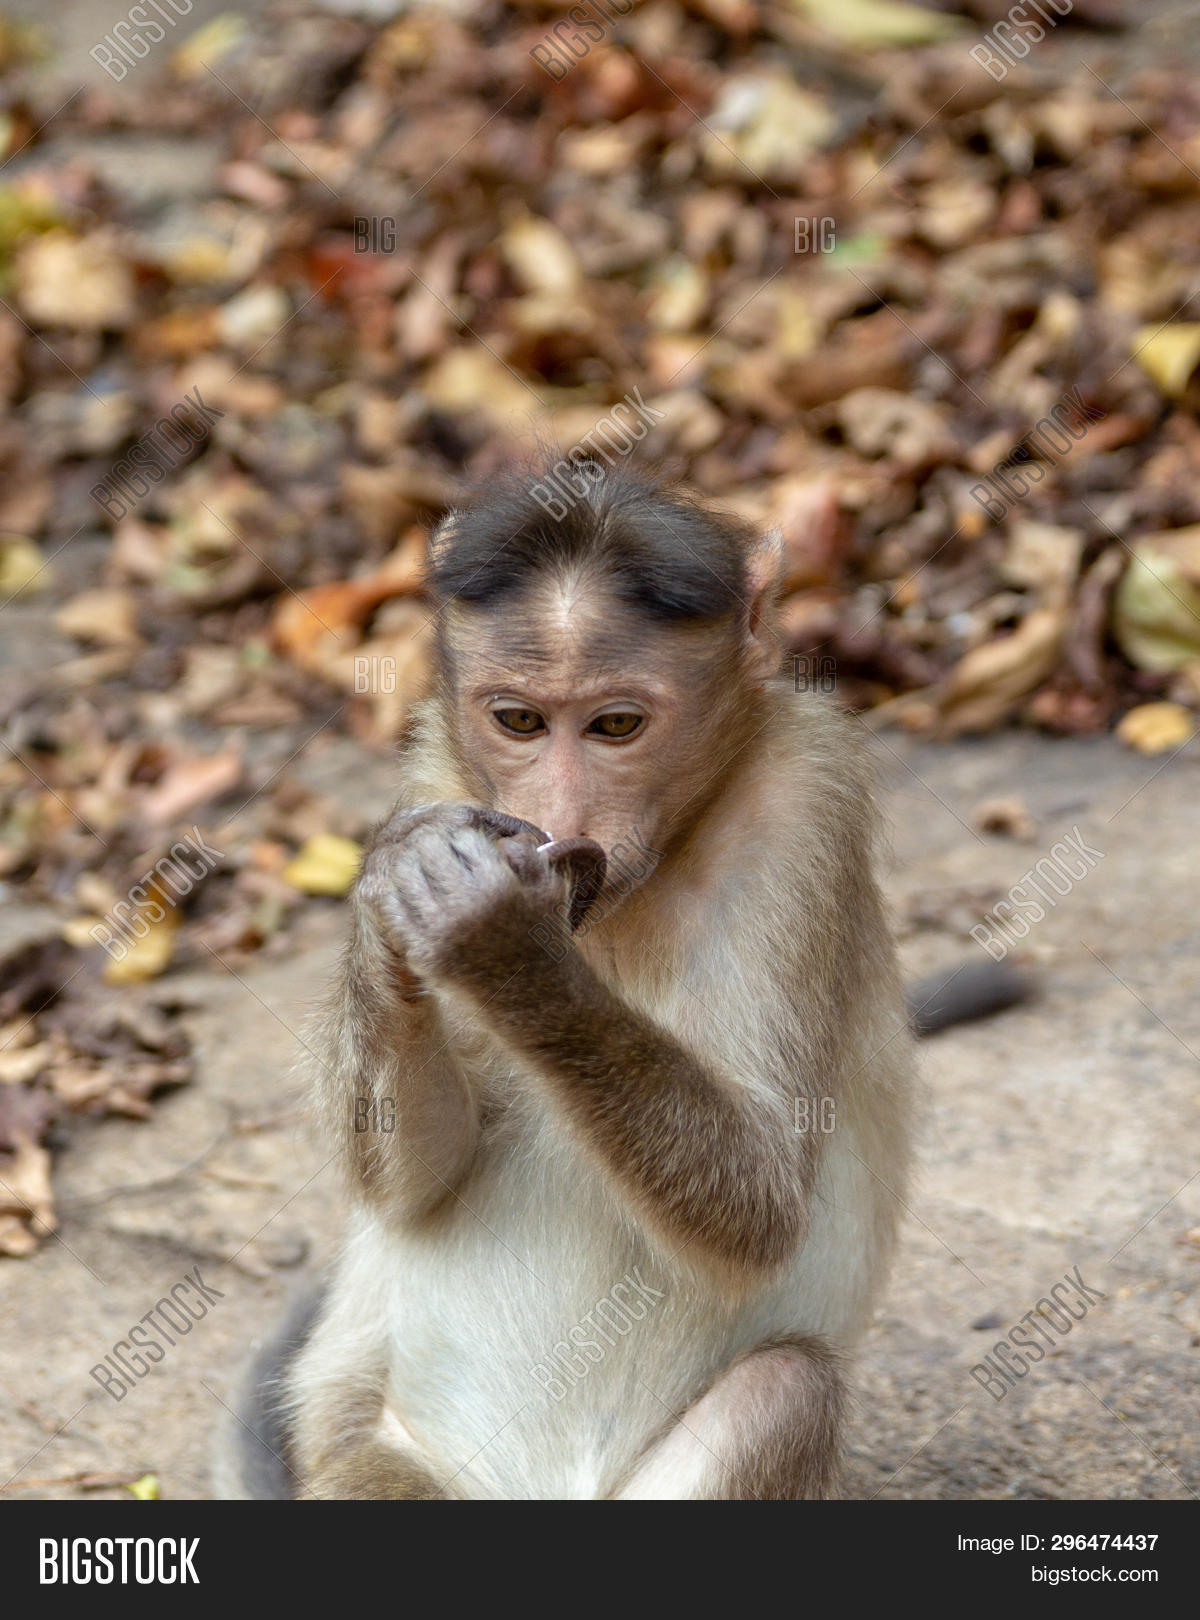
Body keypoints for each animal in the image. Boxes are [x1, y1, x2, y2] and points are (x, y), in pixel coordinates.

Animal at [214, 466, 1029, 1501]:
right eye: (519, 720)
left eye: (616, 727)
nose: (559, 816)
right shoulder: (435, 772)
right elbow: (415, 1178)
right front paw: (398, 889)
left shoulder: (808, 799)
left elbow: (764, 1197)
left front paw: (501, 940)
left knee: (786, 1391)